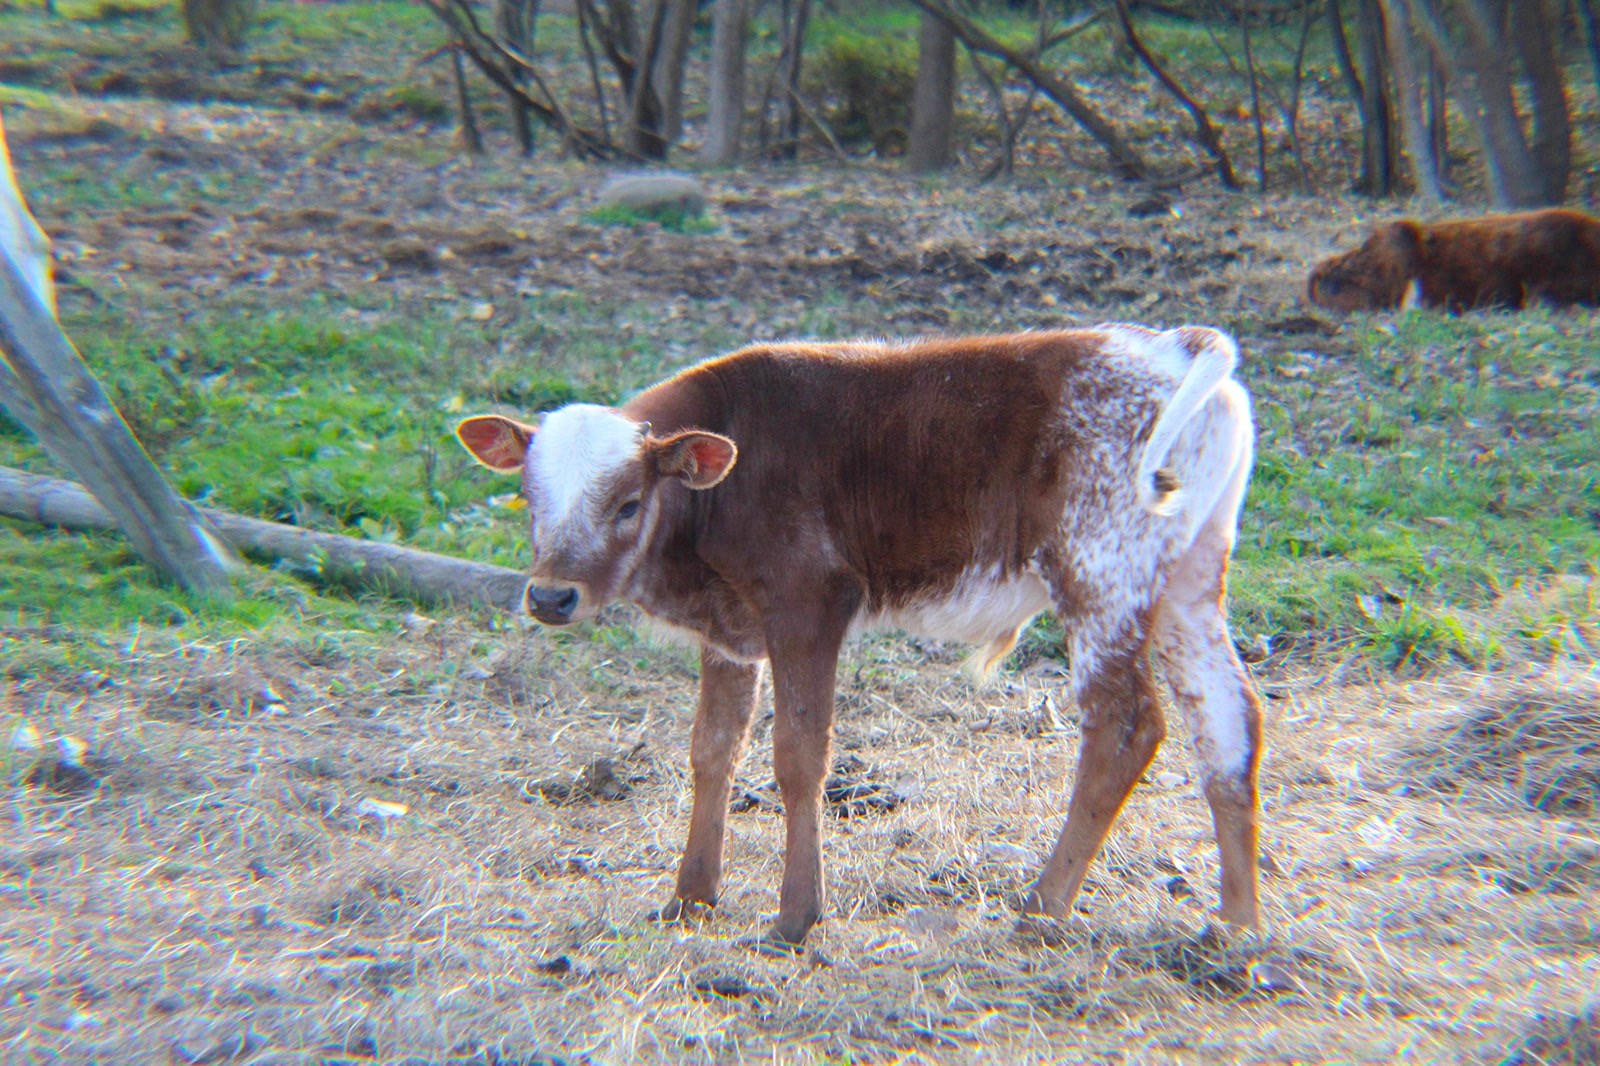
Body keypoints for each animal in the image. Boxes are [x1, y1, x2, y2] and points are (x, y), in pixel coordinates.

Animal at [457, 325, 1263, 948]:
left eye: (628, 504)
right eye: (529, 498)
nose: (551, 596)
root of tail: (1172, 343)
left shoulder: (809, 604)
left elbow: (798, 757)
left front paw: (795, 918)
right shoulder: (730, 632)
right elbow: (713, 750)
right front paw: (690, 898)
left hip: (1100, 576)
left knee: (1126, 725)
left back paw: (1041, 908)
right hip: (1190, 579)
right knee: (1229, 720)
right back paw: (1234, 928)